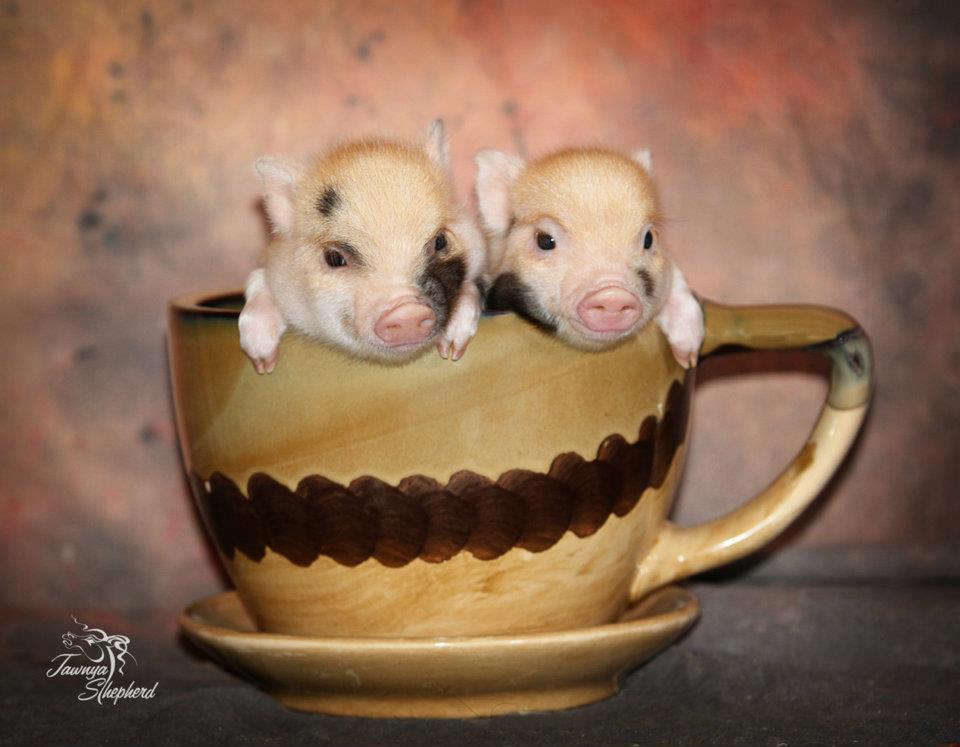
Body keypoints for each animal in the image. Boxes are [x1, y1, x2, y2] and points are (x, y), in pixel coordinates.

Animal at [238, 120, 484, 373]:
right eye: (335, 258)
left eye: (440, 241)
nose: (407, 312)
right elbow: (257, 282)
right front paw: (263, 365)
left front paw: (452, 352)